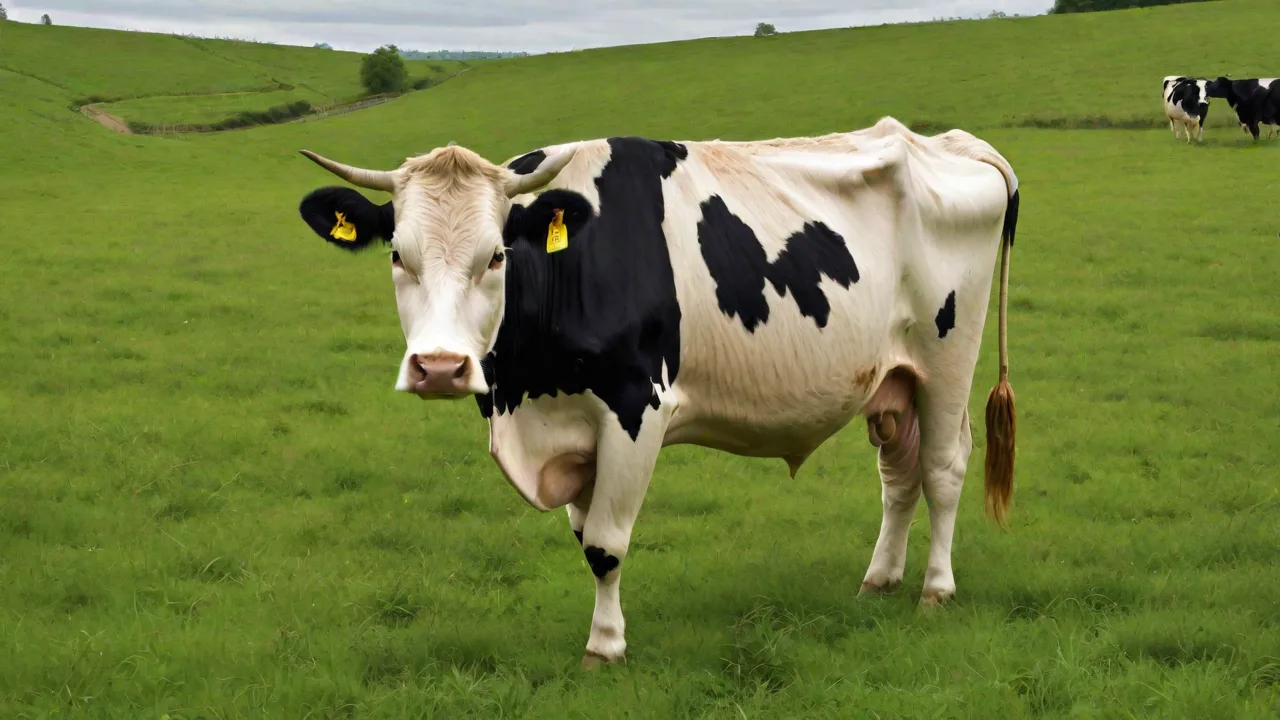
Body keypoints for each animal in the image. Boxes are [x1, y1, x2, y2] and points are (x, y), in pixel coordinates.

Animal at [293, 116, 1021, 667]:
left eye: (496, 255)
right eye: (398, 256)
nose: (440, 367)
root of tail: (952, 142)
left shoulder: (634, 407)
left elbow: (605, 543)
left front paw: (605, 648)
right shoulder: (572, 428)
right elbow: (584, 535)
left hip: (948, 358)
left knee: (943, 468)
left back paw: (936, 589)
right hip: (892, 378)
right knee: (899, 476)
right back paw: (879, 581)